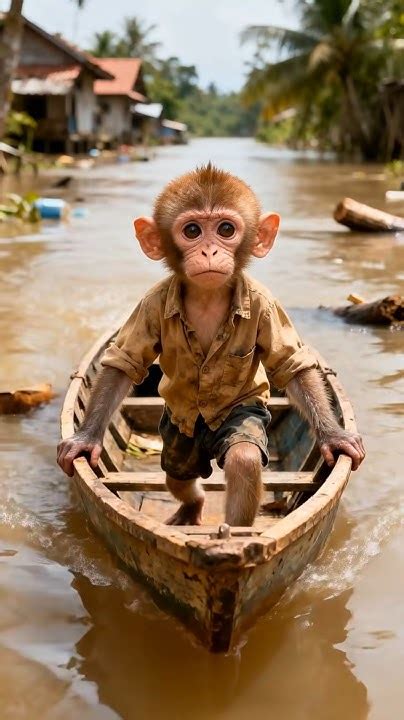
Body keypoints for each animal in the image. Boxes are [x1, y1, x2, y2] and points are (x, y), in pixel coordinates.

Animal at [57, 164, 365, 527]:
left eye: (226, 229)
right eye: (192, 231)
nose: (209, 251)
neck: (207, 297)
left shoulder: (265, 304)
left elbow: (290, 367)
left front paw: (334, 437)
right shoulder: (150, 303)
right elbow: (124, 364)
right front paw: (86, 439)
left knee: (241, 457)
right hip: (178, 445)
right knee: (178, 475)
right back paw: (193, 506)